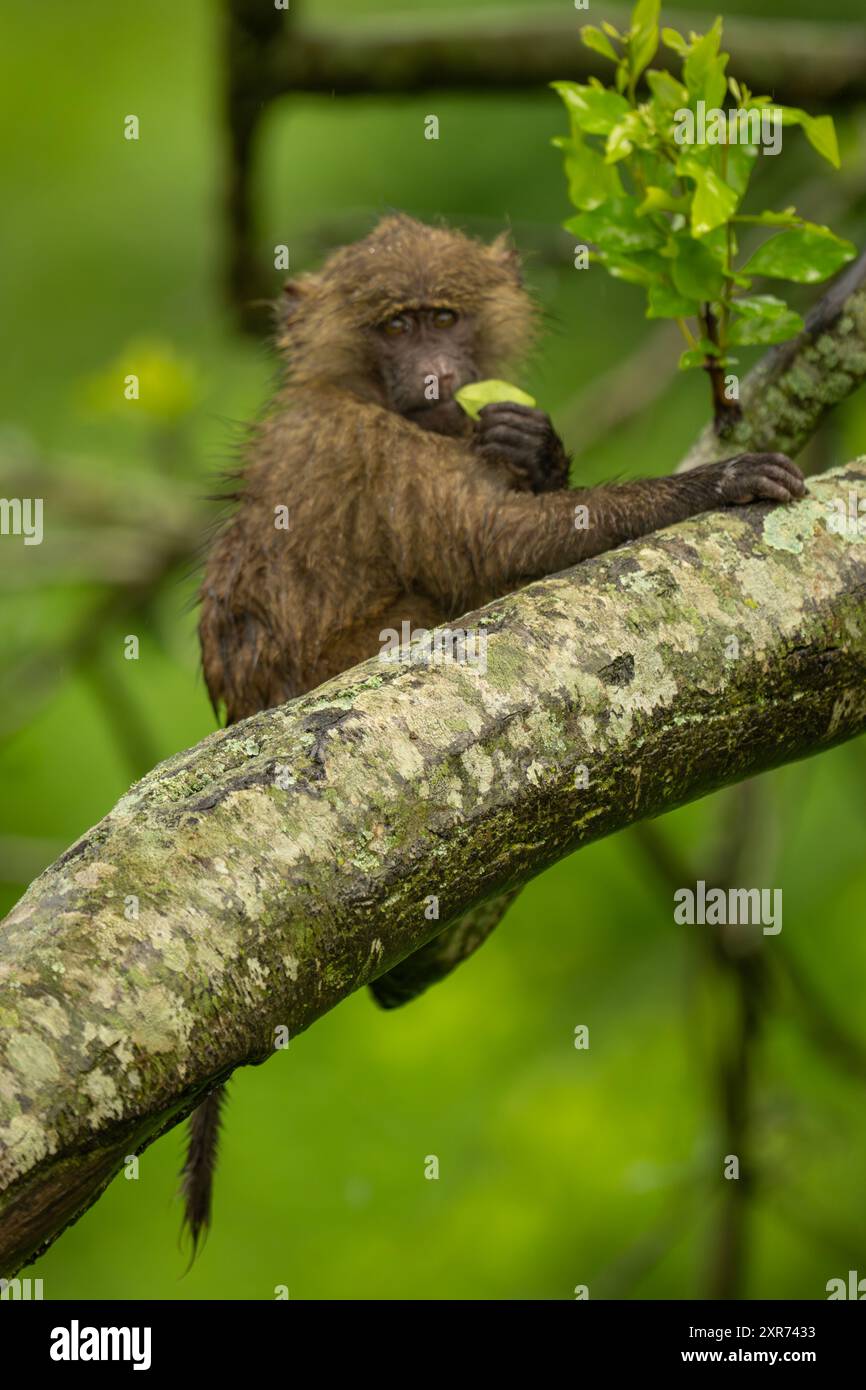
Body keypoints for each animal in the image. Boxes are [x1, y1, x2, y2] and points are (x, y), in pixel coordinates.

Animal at [187, 213, 805, 1247]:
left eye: (444, 318)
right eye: (396, 326)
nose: (438, 377)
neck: (363, 394)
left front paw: (535, 448)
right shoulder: (364, 448)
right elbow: (498, 546)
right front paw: (722, 481)